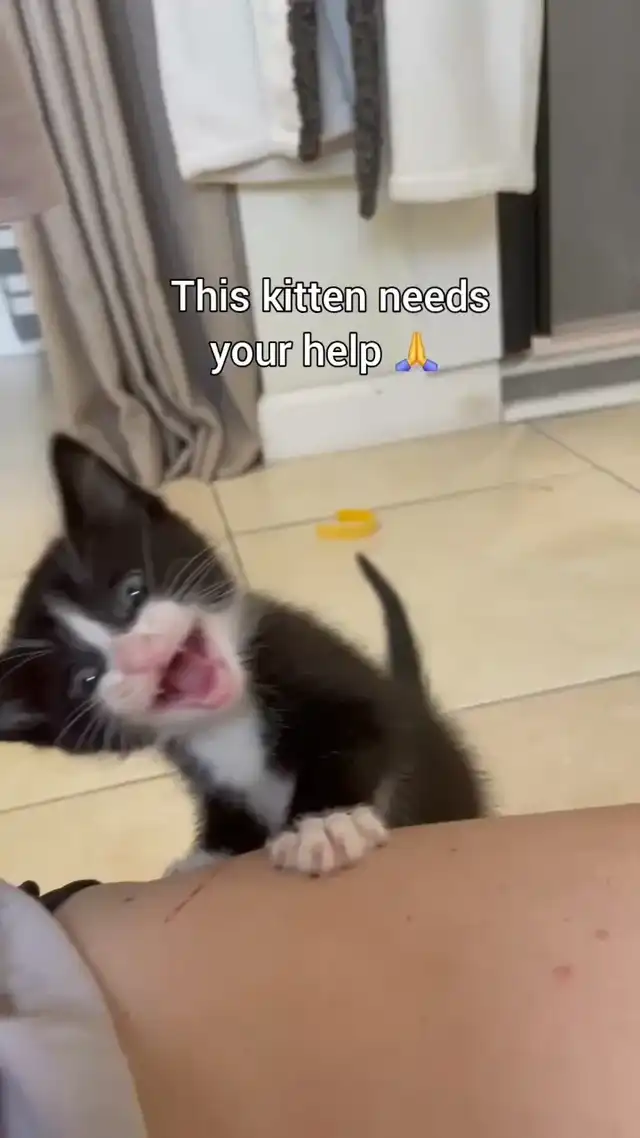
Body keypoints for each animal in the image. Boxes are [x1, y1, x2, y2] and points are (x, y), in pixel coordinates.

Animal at [0, 435, 487, 875]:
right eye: (84, 680)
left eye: (132, 591)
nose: (140, 651)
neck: (229, 722)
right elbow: (231, 816)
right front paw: (206, 856)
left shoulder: (323, 665)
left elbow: (360, 733)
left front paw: (325, 821)